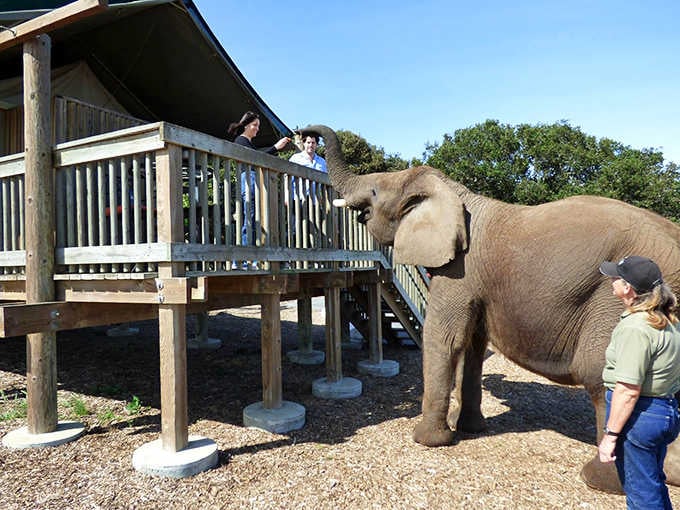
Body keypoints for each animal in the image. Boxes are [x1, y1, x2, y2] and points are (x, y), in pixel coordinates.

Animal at [307, 124, 680, 494]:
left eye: (374, 191)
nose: (304, 133)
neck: (454, 192)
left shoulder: (459, 269)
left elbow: (446, 338)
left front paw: (427, 440)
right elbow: (472, 343)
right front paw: (468, 428)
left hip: (615, 298)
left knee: (601, 372)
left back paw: (598, 480)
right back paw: (668, 473)